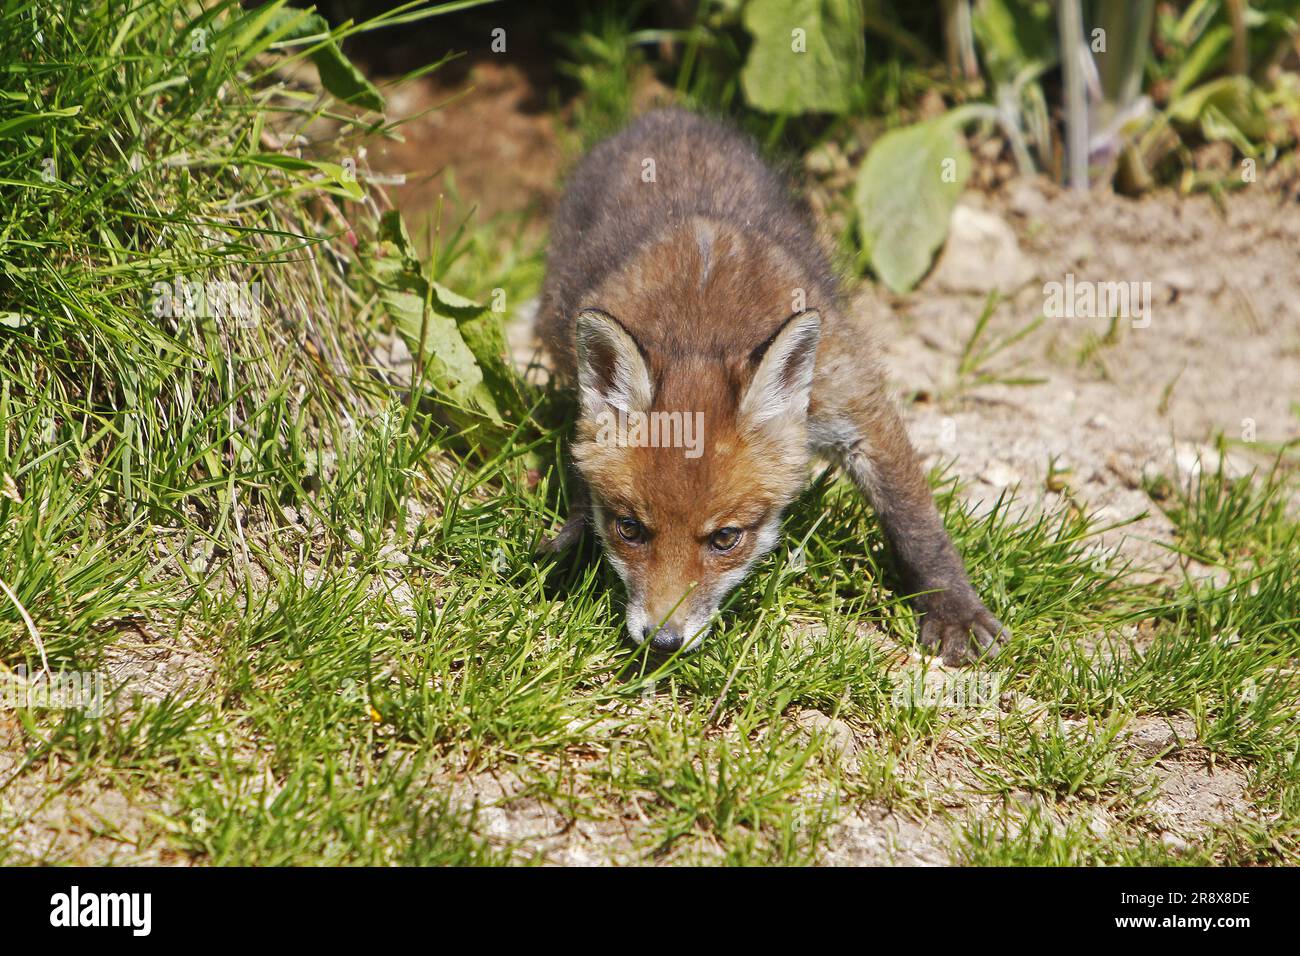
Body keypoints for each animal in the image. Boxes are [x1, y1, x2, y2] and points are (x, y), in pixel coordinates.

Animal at [536, 108, 1006, 665]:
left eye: (725, 538)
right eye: (629, 529)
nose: (663, 642)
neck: (702, 328)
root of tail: (668, 114)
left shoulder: (848, 398)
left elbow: (915, 523)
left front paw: (953, 608)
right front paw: (569, 541)